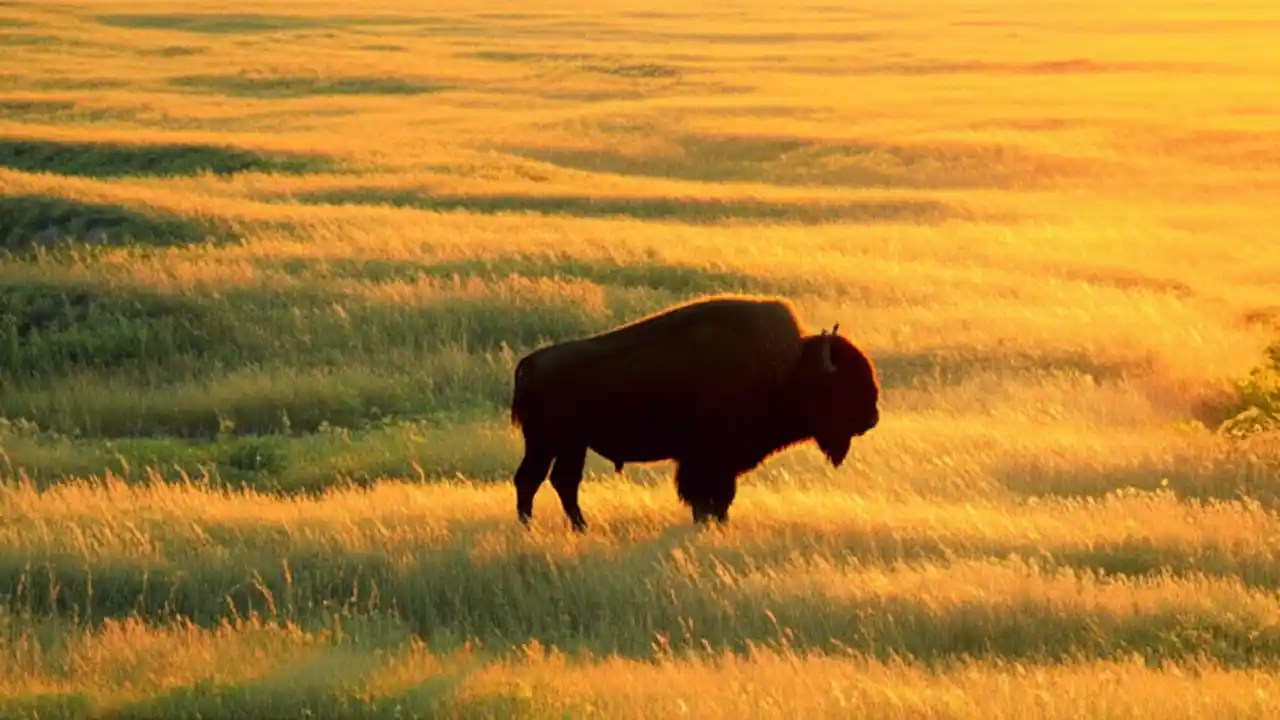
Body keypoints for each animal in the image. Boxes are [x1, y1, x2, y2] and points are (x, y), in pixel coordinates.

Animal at [508, 294, 880, 531]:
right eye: (845, 383)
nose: (871, 417)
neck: (790, 368)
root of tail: (529, 364)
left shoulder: (720, 464)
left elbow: (721, 497)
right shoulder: (706, 460)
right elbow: (706, 496)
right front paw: (708, 523)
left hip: (572, 444)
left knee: (562, 481)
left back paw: (578, 527)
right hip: (546, 442)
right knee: (532, 479)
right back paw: (531, 528)